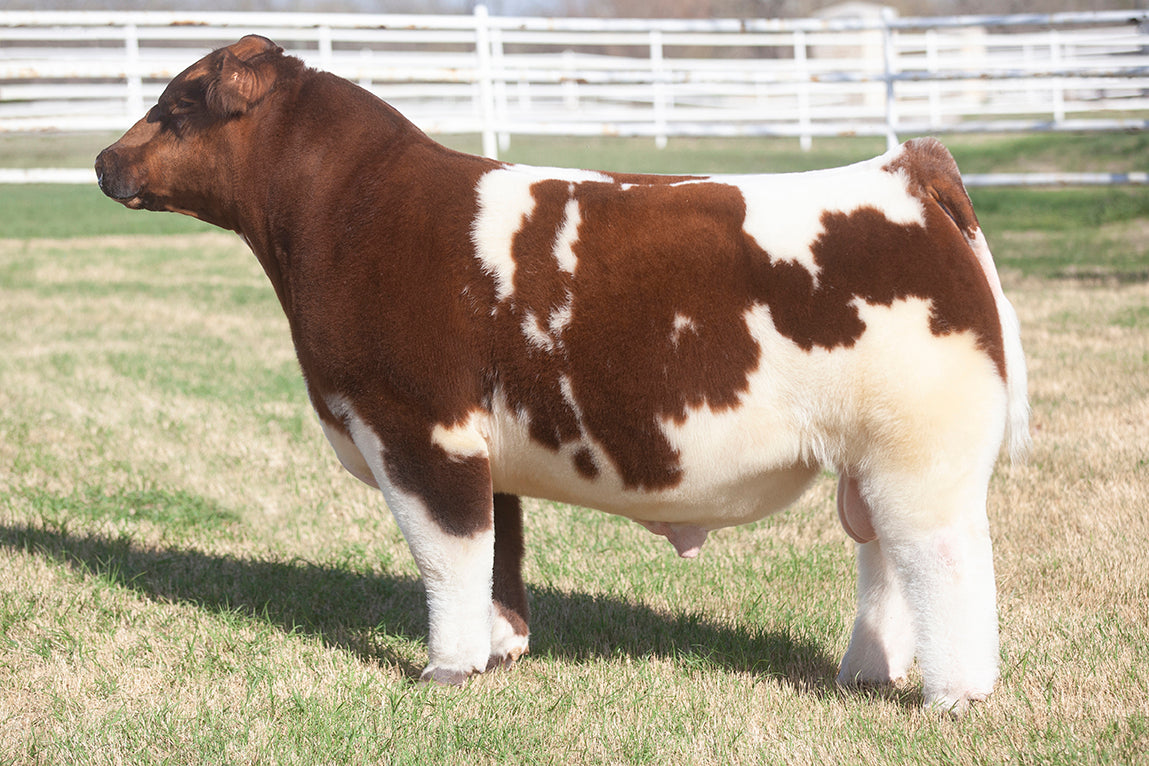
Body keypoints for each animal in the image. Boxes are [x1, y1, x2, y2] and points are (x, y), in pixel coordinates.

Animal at [95, 36, 1029, 714]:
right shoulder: (481, 444)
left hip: (921, 453)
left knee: (944, 566)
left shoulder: (417, 427)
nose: (104, 161)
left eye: (175, 105)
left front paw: (445, 670)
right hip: (874, 458)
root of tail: (905, 169)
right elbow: (499, 552)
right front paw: (501, 651)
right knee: (885, 562)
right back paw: (868, 671)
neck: (349, 215)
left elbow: (448, 556)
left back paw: (953, 697)